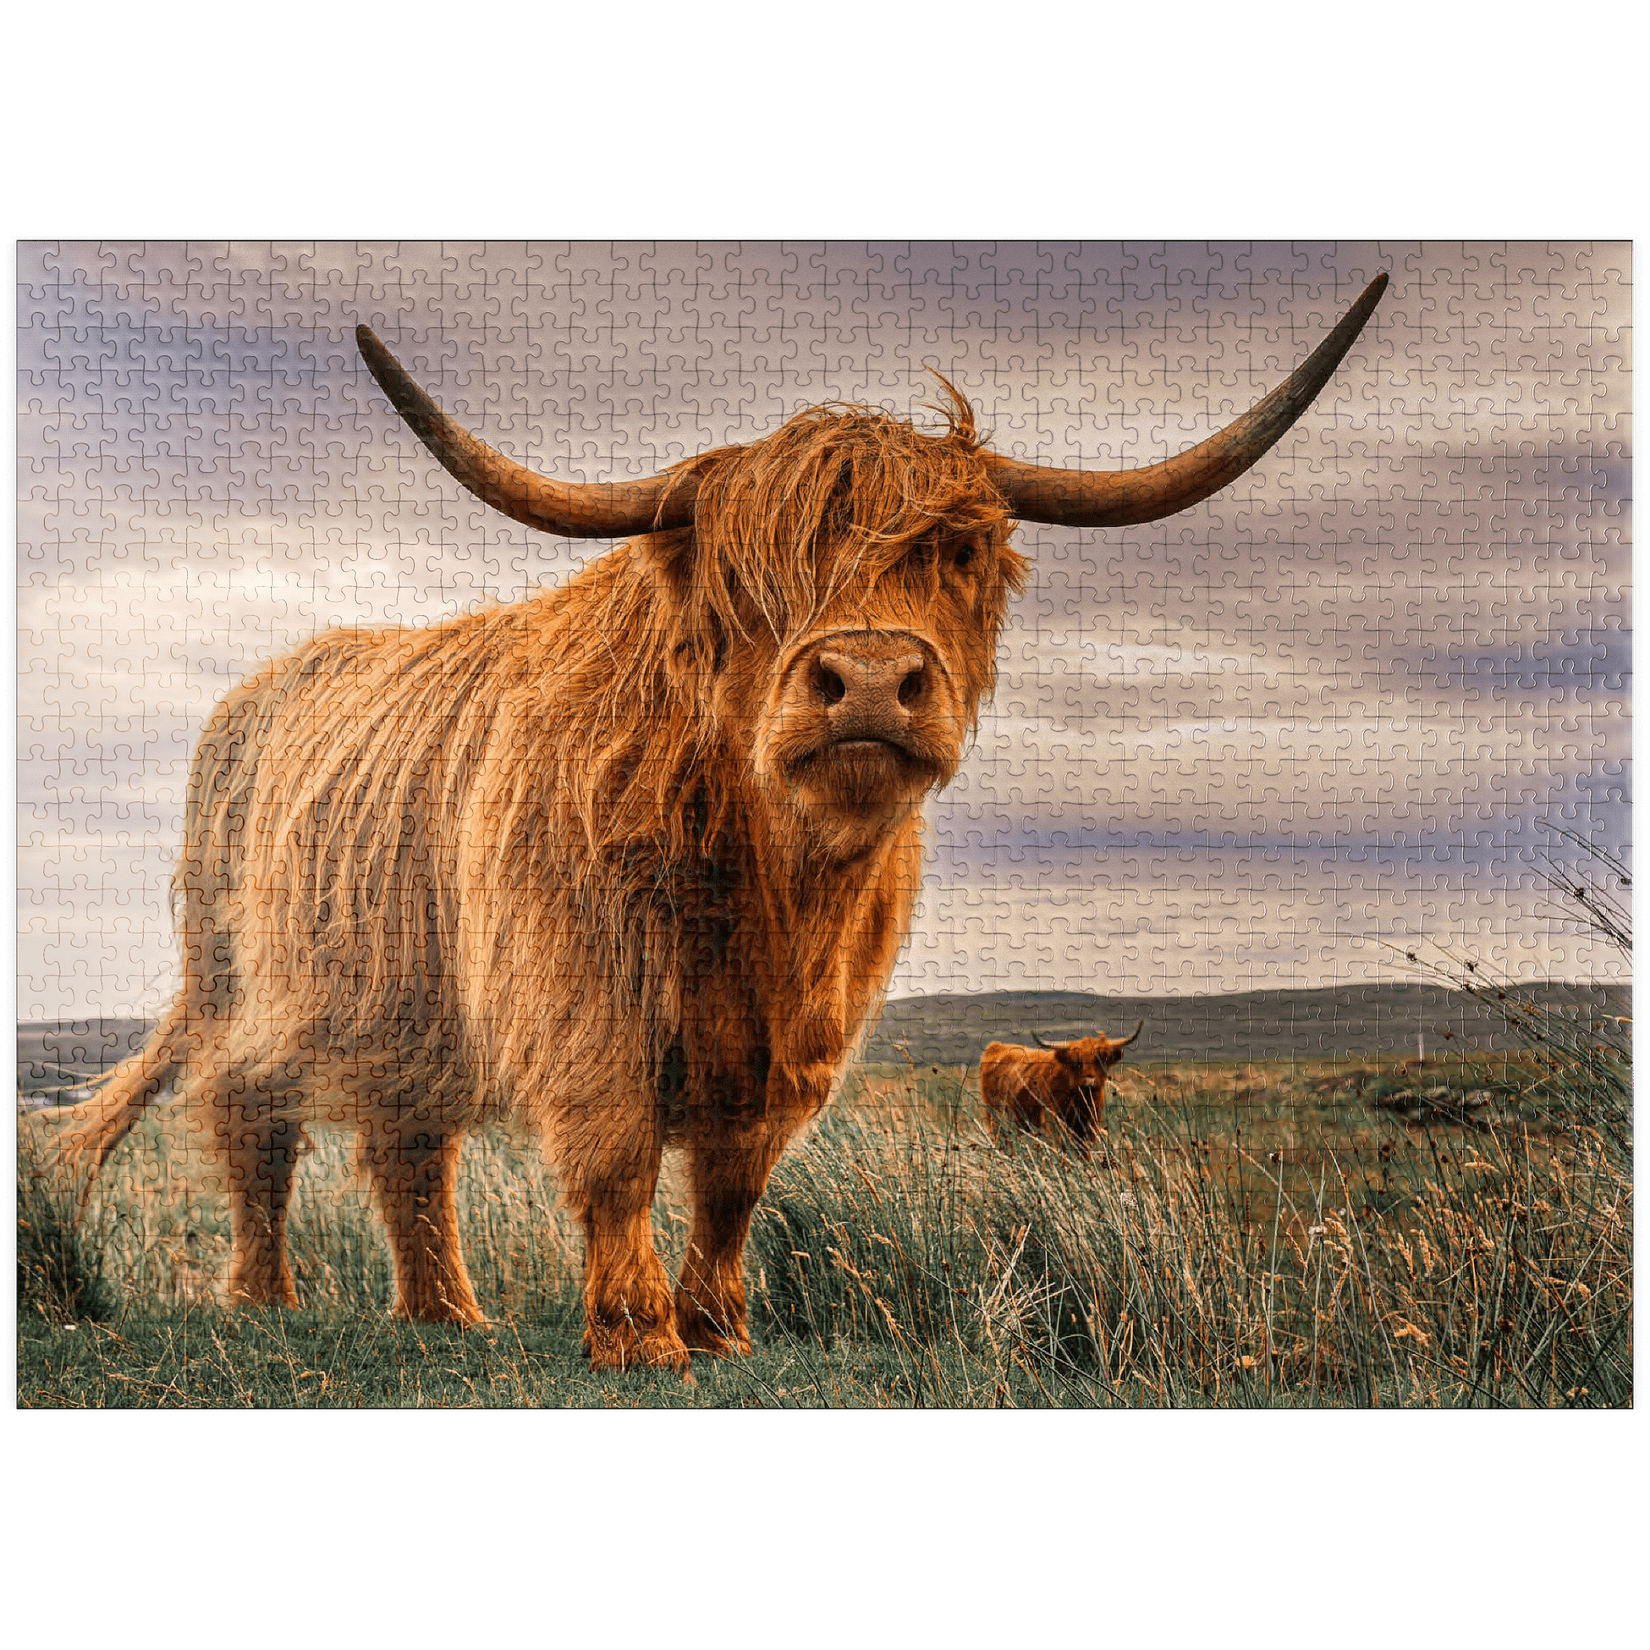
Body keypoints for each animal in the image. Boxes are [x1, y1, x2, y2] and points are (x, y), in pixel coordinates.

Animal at [978, 1023, 1143, 1150]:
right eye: (1076, 1061)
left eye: (1101, 1058)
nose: (1089, 1081)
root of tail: (996, 1046)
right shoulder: (1055, 1129)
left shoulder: (1088, 1132)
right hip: (996, 1121)